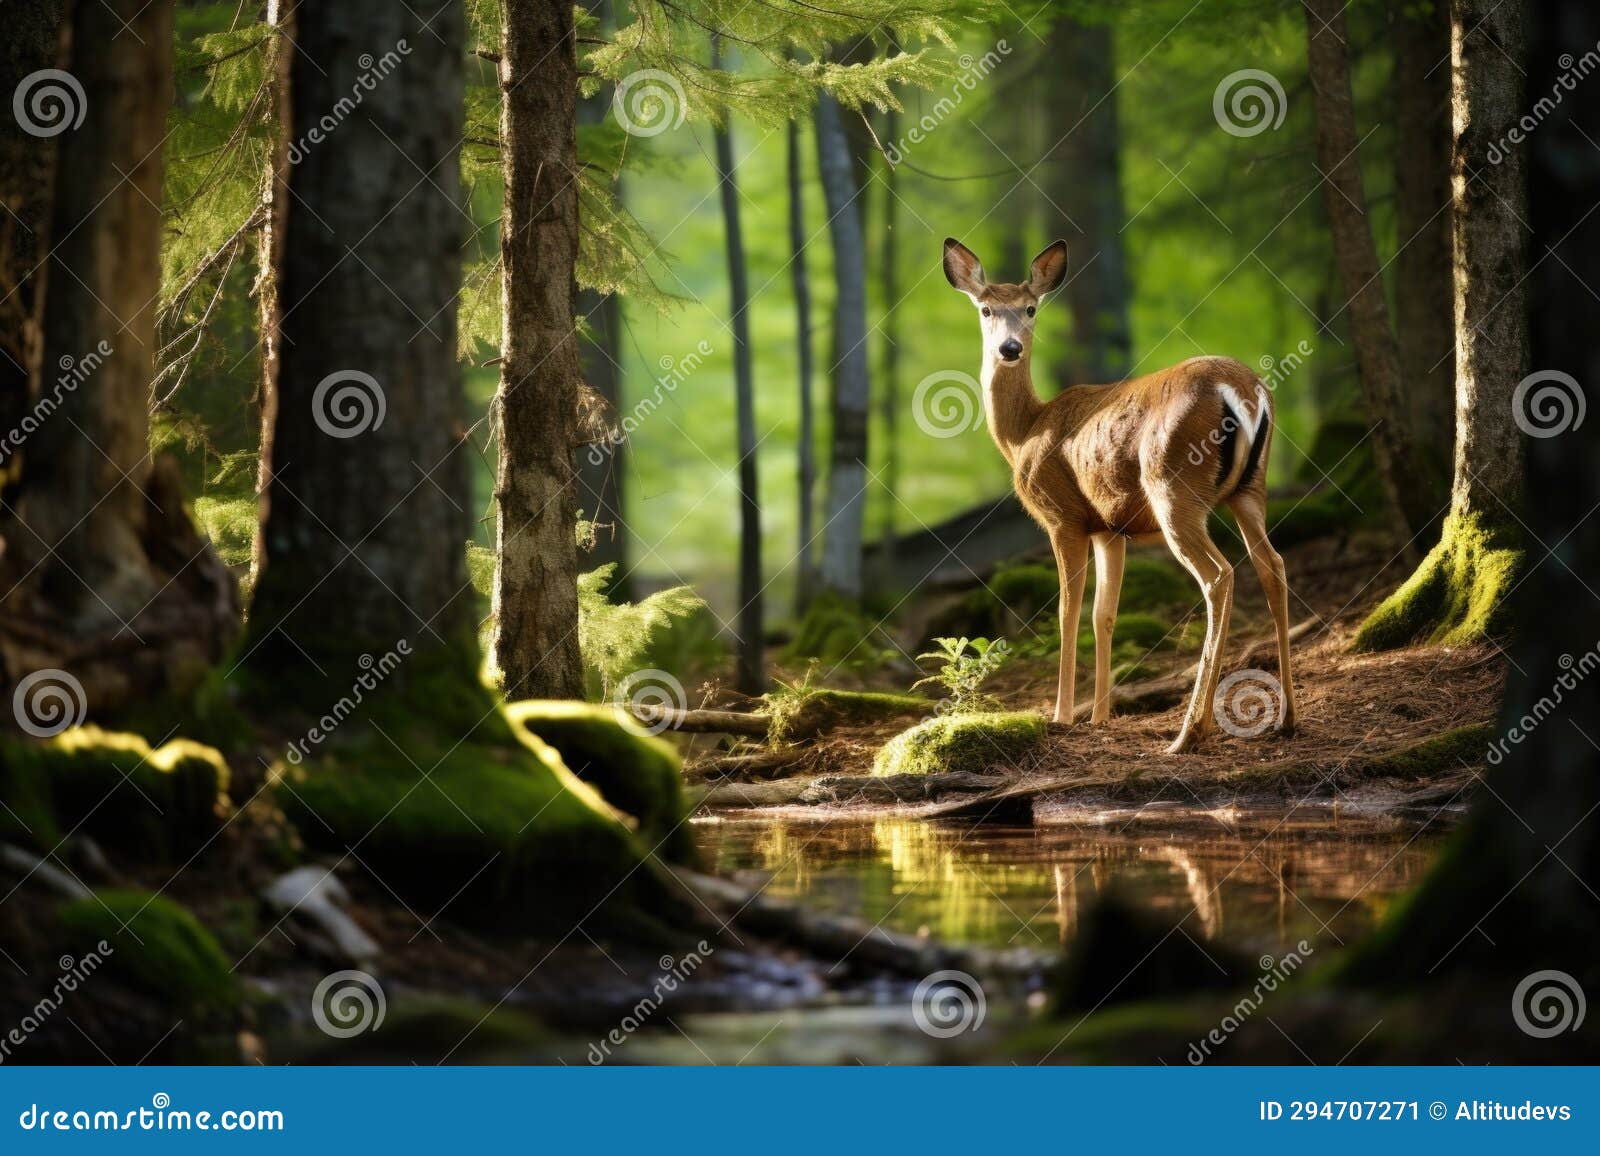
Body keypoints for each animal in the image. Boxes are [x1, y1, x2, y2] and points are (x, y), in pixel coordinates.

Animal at [941, 237, 1296, 753]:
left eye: (1030, 308)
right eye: (986, 308)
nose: (1010, 347)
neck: (1024, 432)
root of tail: (1245, 391)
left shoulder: (1064, 518)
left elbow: (1067, 613)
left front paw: (1062, 715)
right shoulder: (1110, 528)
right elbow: (1103, 615)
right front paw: (1100, 717)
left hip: (1173, 488)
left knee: (1219, 575)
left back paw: (1190, 732)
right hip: (1251, 489)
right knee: (1273, 564)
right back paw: (1288, 718)